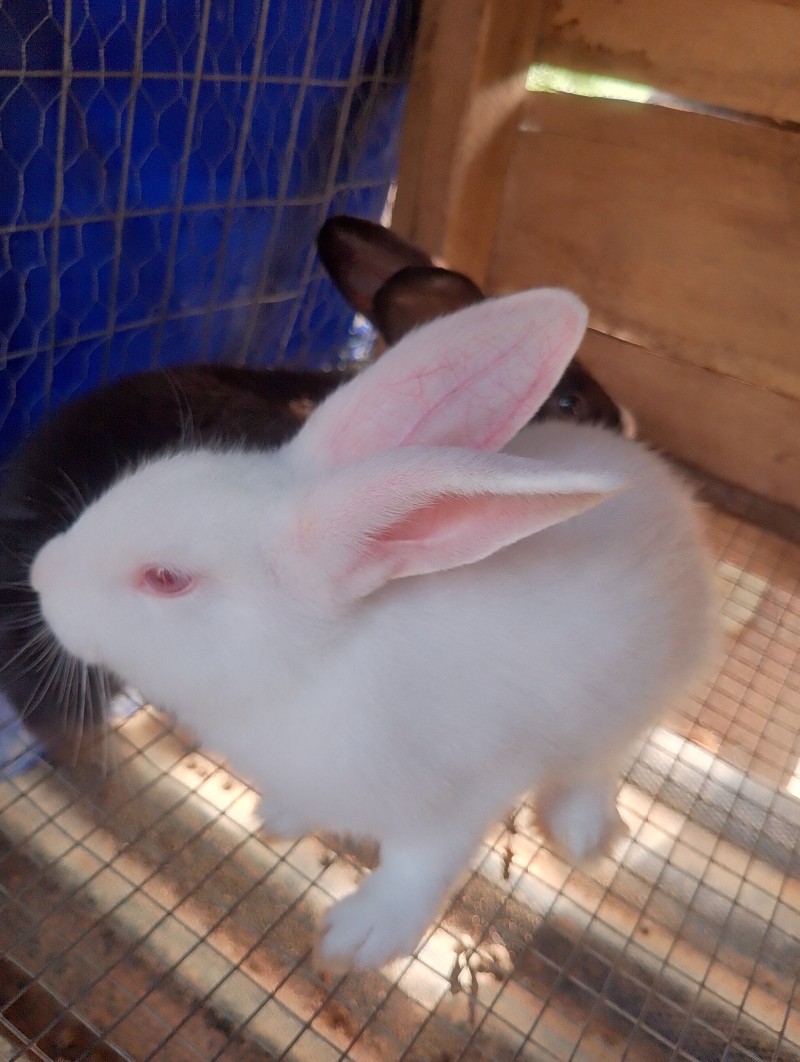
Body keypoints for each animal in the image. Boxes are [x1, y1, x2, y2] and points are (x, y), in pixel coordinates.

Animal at [31, 288, 715, 970]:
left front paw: (358, 938)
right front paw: (278, 814)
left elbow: (421, 867)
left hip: (635, 696)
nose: (39, 574)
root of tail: (656, 479)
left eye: (166, 578)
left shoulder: (461, 796)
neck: (314, 665)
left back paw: (581, 831)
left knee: (598, 763)